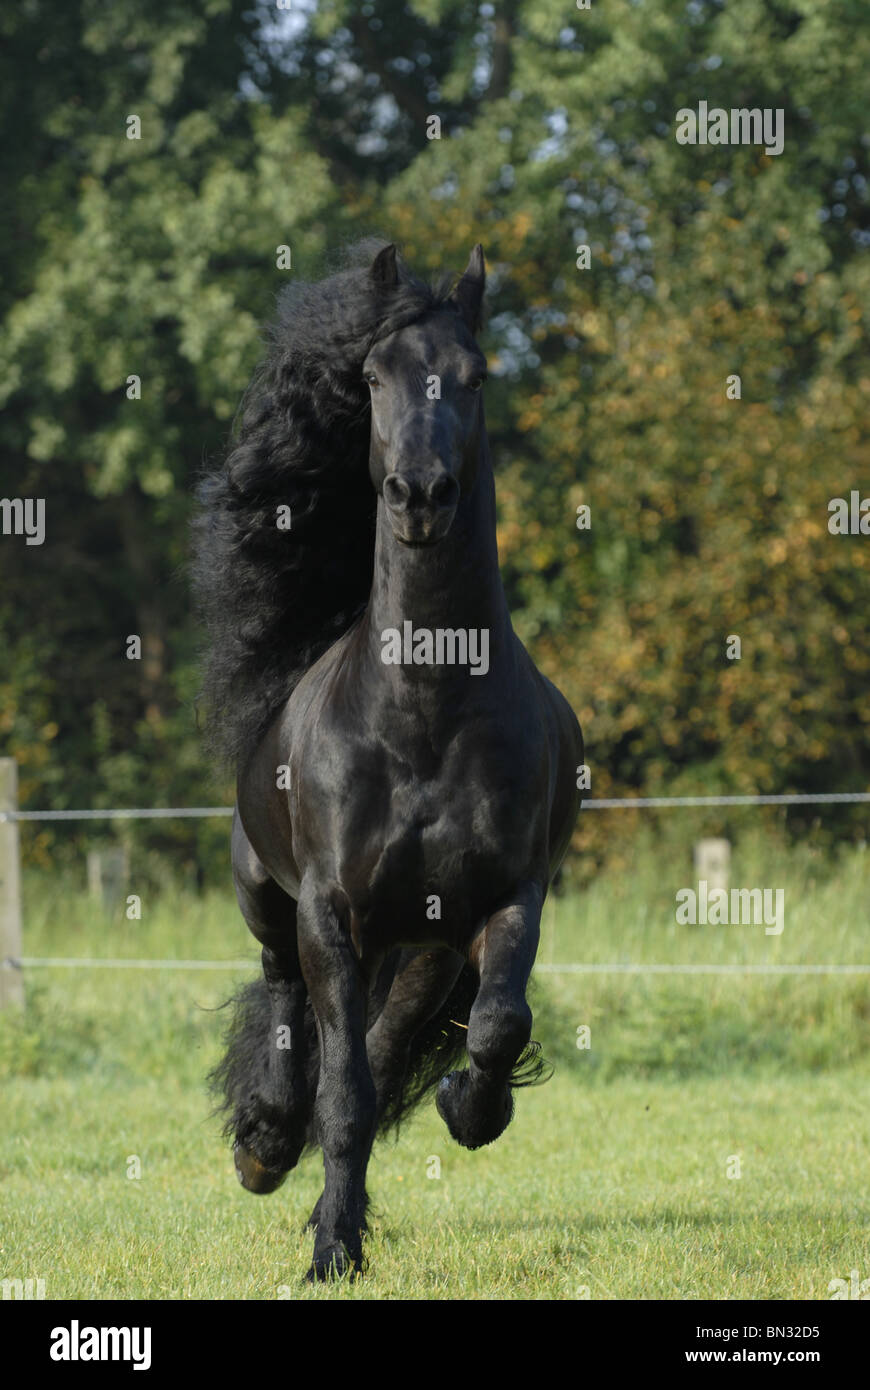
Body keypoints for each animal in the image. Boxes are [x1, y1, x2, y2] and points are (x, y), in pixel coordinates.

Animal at [194, 241, 584, 1281]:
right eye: (372, 378)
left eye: (478, 375)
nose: (418, 496)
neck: (425, 716)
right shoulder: (331, 916)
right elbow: (344, 1095)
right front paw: (332, 1250)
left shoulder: (506, 899)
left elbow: (497, 1025)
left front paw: (470, 1108)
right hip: (271, 901)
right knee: (287, 999)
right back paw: (266, 1141)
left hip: (421, 951)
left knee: (389, 1034)